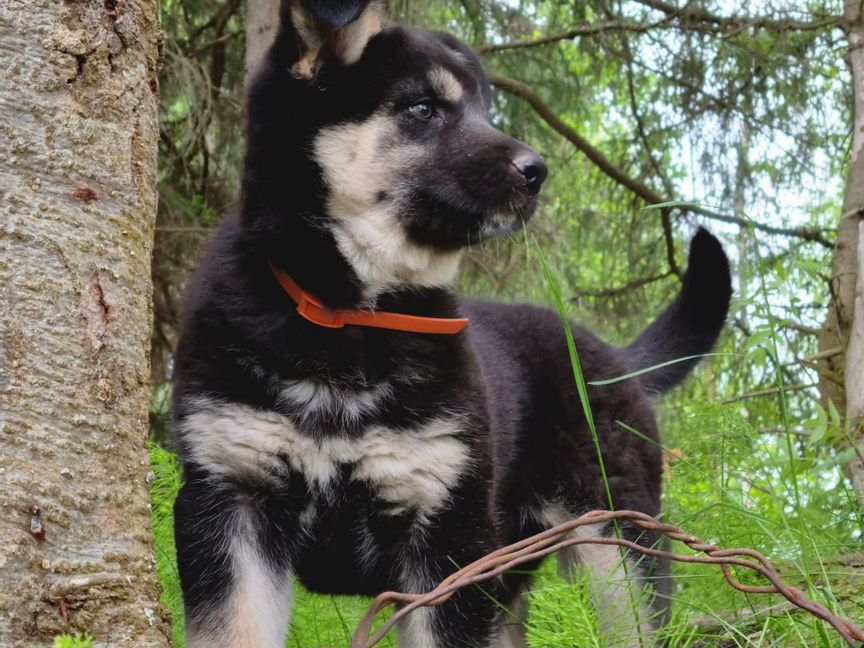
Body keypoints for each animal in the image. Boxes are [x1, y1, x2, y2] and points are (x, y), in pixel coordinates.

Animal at [172, 2, 732, 644]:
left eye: (485, 110)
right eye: (423, 109)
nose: (538, 170)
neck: (352, 315)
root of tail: (618, 361)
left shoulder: (444, 529)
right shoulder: (231, 503)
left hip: (615, 544)